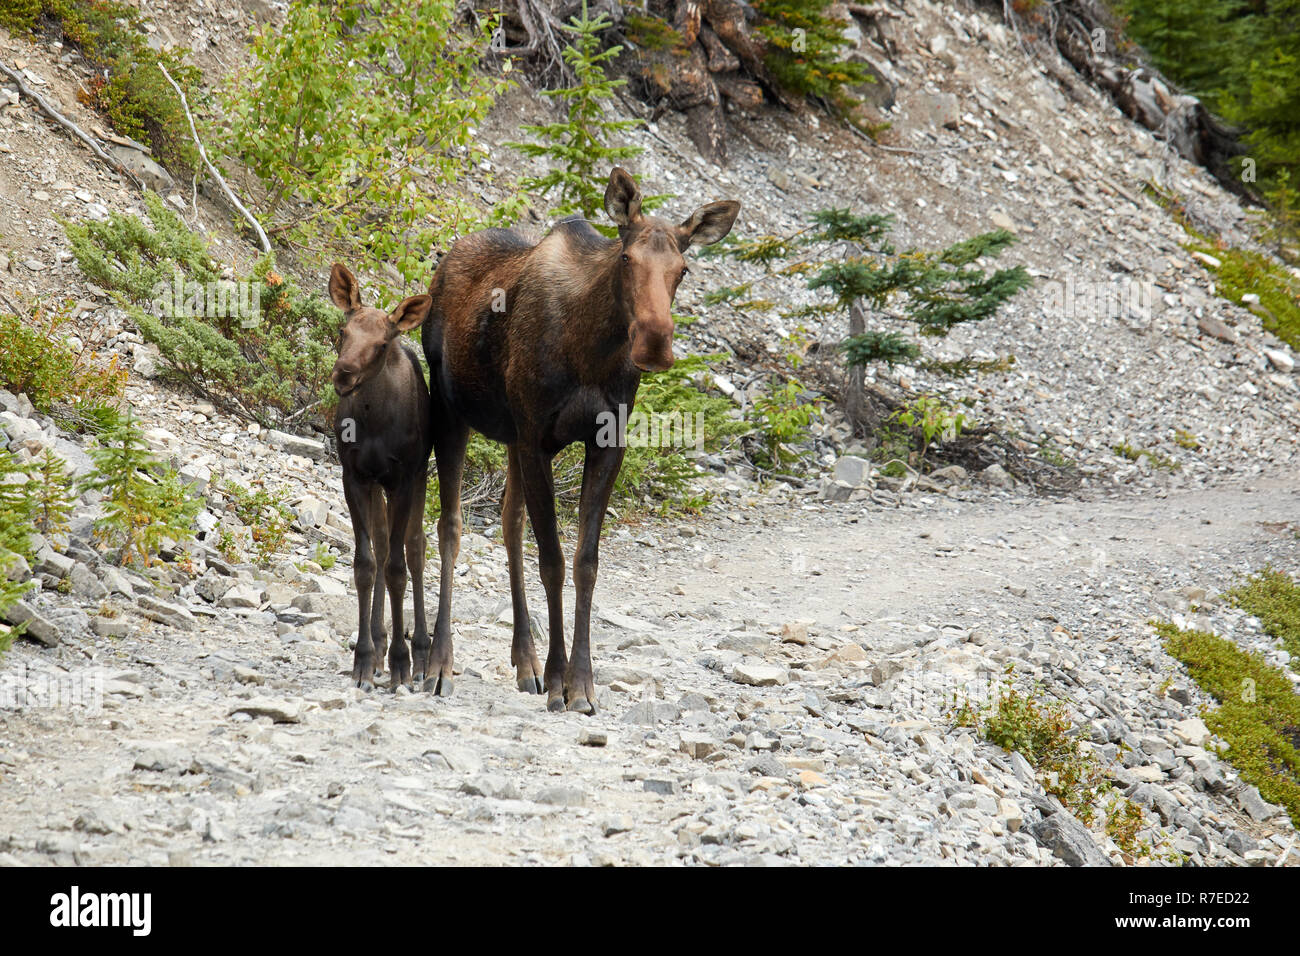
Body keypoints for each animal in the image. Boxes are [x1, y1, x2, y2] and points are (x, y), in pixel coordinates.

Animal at [419, 167, 739, 713]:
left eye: (683, 269)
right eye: (627, 257)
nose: (655, 341)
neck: (593, 347)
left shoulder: (605, 441)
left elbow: (585, 561)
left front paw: (580, 682)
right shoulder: (536, 437)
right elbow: (551, 559)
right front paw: (558, 680)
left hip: (508, 435)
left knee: (508, 522)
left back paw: (523, 660)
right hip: (451, 410)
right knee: (450, 526)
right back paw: (439, 662)